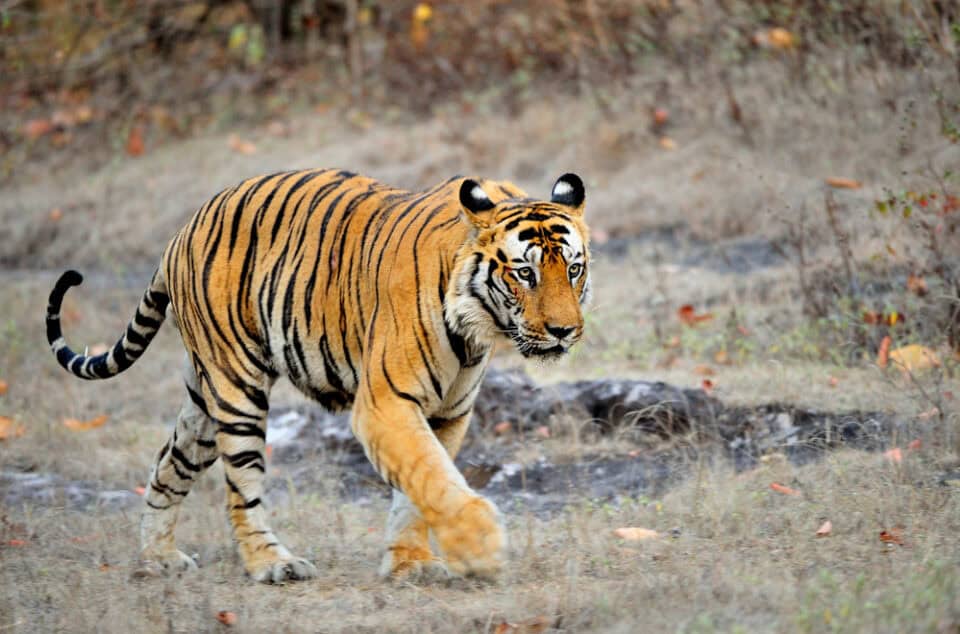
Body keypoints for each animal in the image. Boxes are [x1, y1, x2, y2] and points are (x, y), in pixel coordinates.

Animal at [45, 168, 590, 583]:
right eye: (525, 273)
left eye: (574, 269)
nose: (564, 331)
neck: (477, 324)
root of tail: (182, 231)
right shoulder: (385, 404)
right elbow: (433, 477)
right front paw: (481, 546)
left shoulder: (448, 413)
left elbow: (418, 489)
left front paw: (410, 563)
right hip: (237, 389)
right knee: (240, 490)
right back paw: (272, 564)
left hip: (202, 402)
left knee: (168, 465)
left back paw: (158, 557)